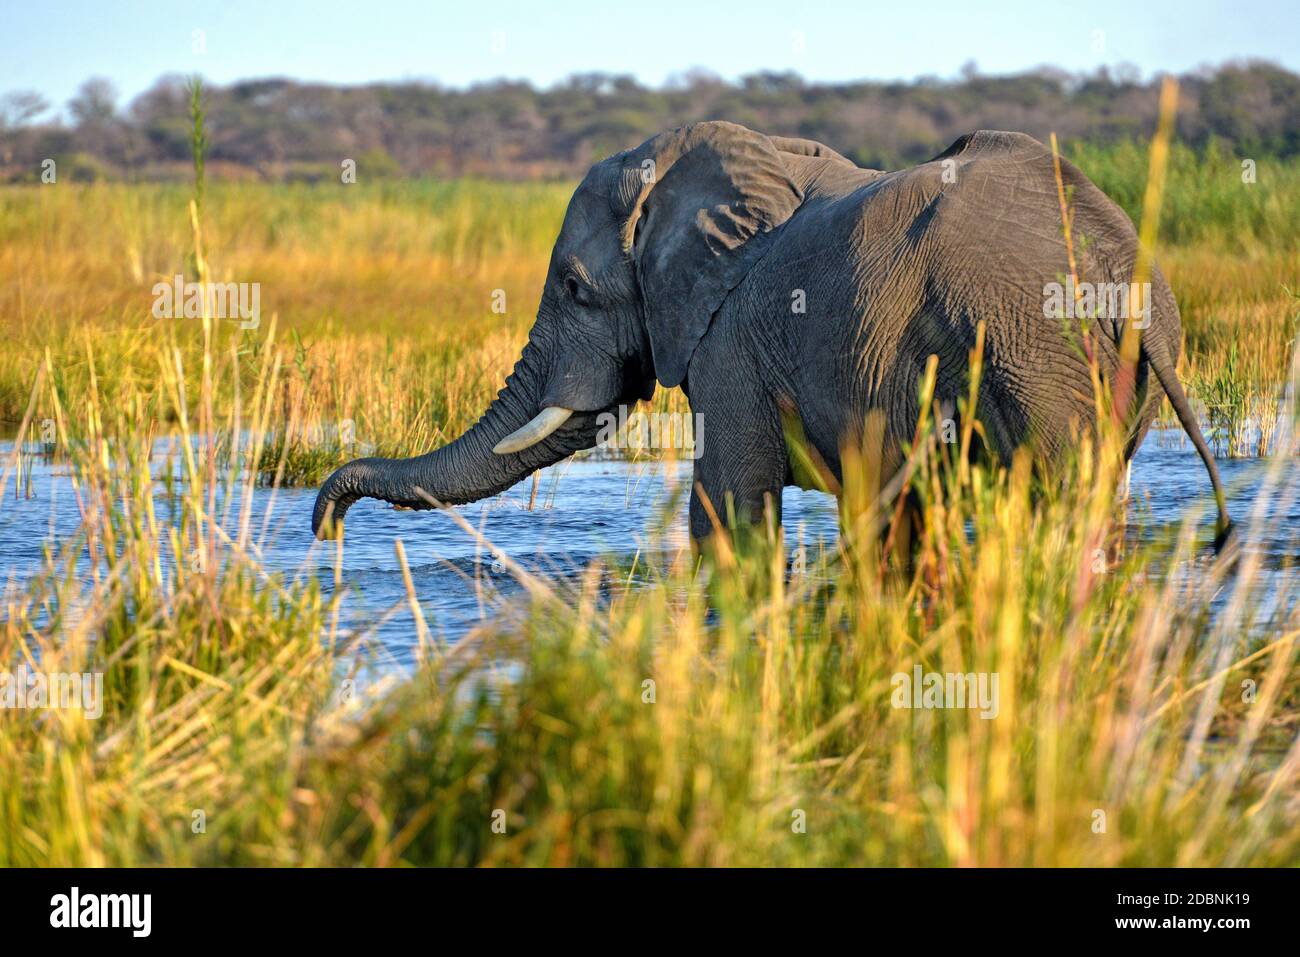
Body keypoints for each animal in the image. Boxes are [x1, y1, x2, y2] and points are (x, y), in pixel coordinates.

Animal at [312, 121, 1232, 549]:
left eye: (574, 287)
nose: (325, 526)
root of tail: (1118, 259)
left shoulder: (727, 341)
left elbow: (728, 510)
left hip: (1032, 346)